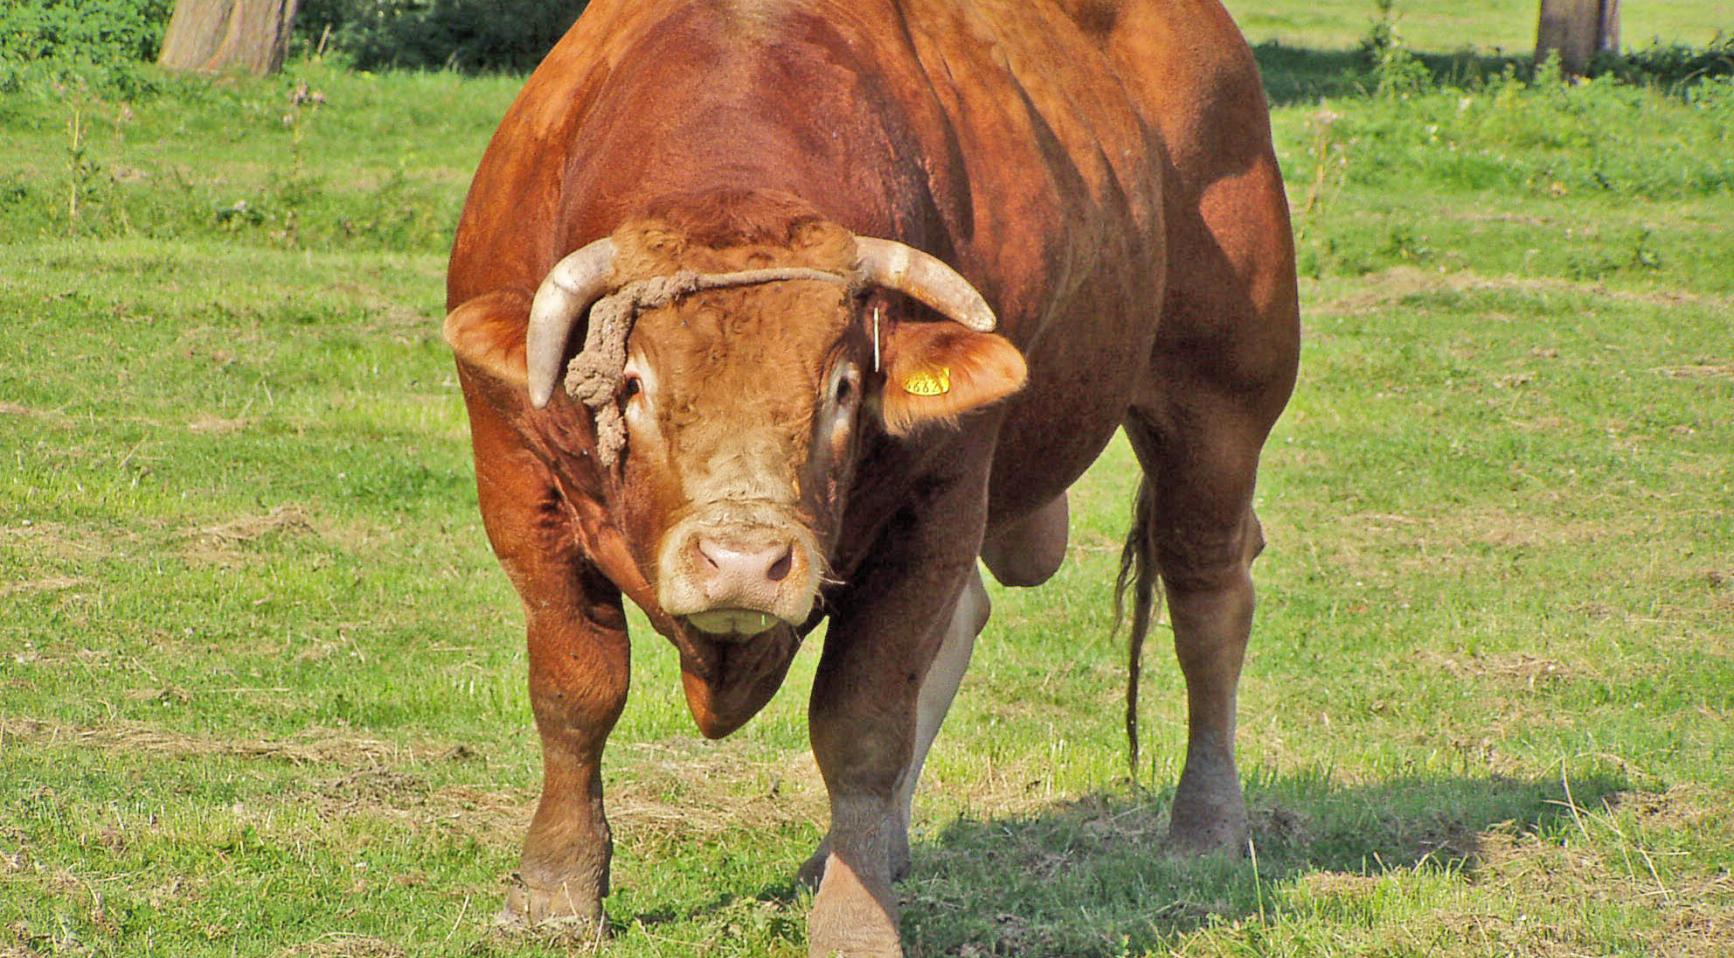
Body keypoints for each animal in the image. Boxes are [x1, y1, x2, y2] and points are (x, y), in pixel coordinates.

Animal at [441, 1, 1299, 954]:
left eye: (844, 388)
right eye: (631, 384)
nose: (744, 563)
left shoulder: (940, 501)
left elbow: (860, 720)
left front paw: (855, 921)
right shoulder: (515, 476)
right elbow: (578, 688)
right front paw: (554, 888)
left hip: (1221, 401)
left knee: (1207, 598)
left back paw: (1207, 824)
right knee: (973, 619)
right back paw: (872, 846)